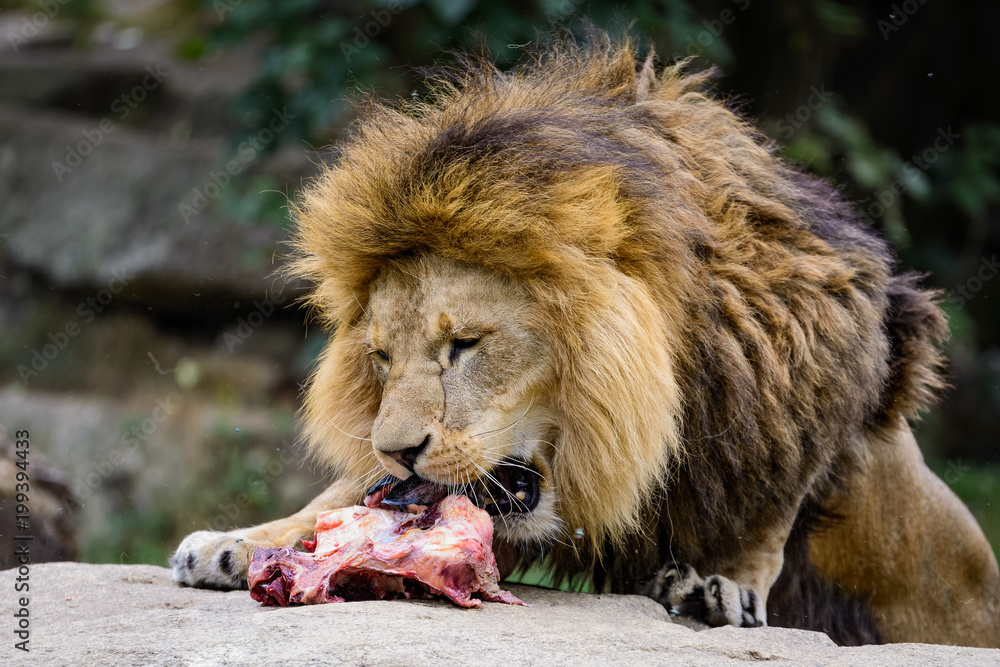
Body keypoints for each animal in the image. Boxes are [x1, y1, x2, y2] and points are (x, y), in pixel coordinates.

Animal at [171, 35, 1000, 647]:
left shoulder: (818, 347)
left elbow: (773, 492)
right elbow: (348, 493)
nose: (397, 450)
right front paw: (241, 541)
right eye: (379, 357)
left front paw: (720, 581)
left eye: (464, 344)